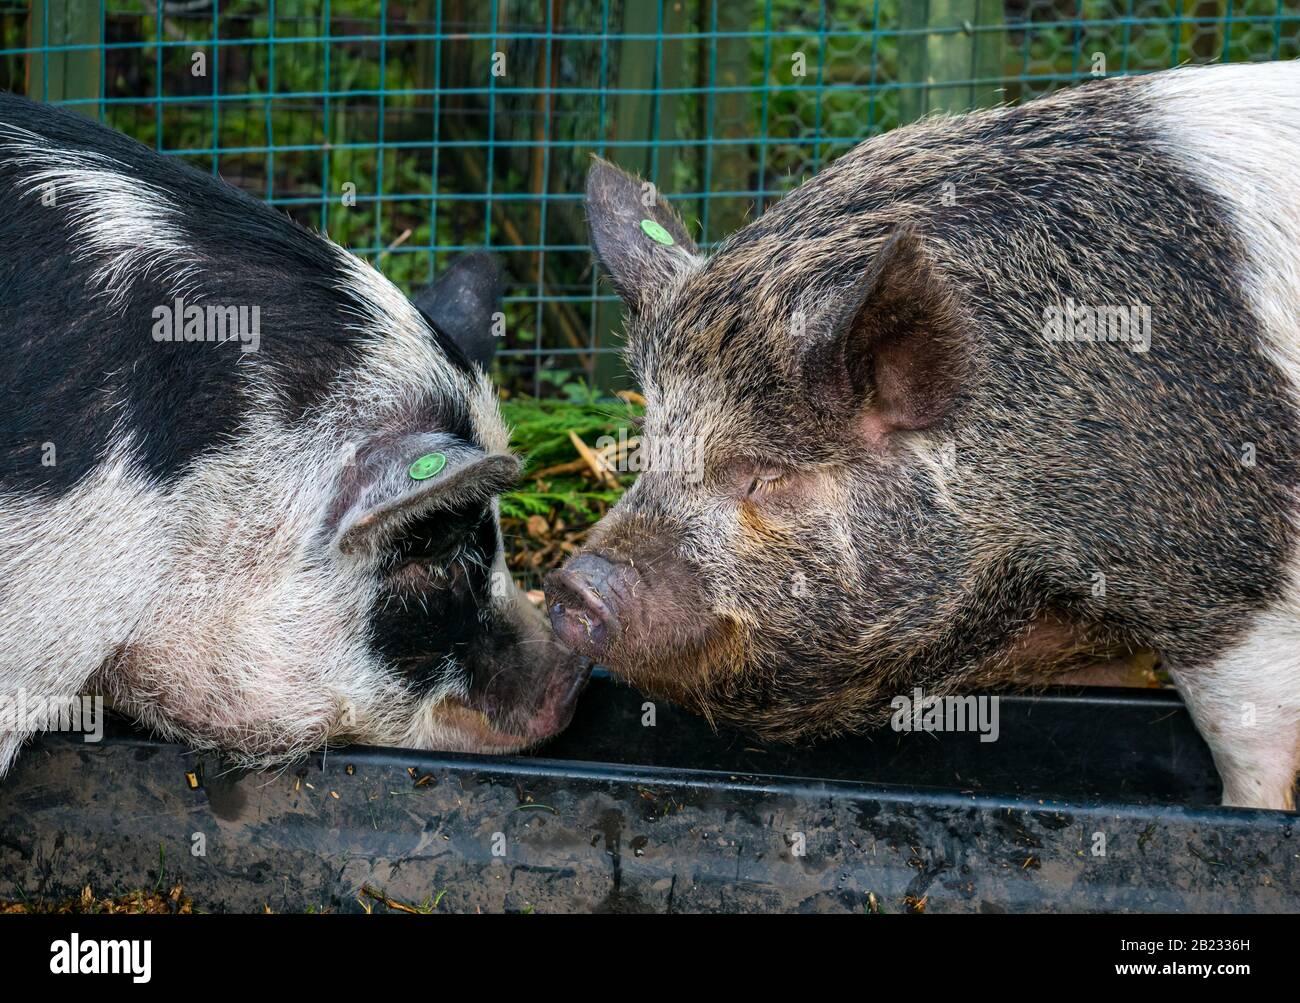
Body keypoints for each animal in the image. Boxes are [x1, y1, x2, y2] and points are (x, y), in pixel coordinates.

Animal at [547, 61, 1300, 810]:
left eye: (766, 472)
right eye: (651, 441)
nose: (573, 586)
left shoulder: (1235, 578)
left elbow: (1245, 747)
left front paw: (1248, 812)